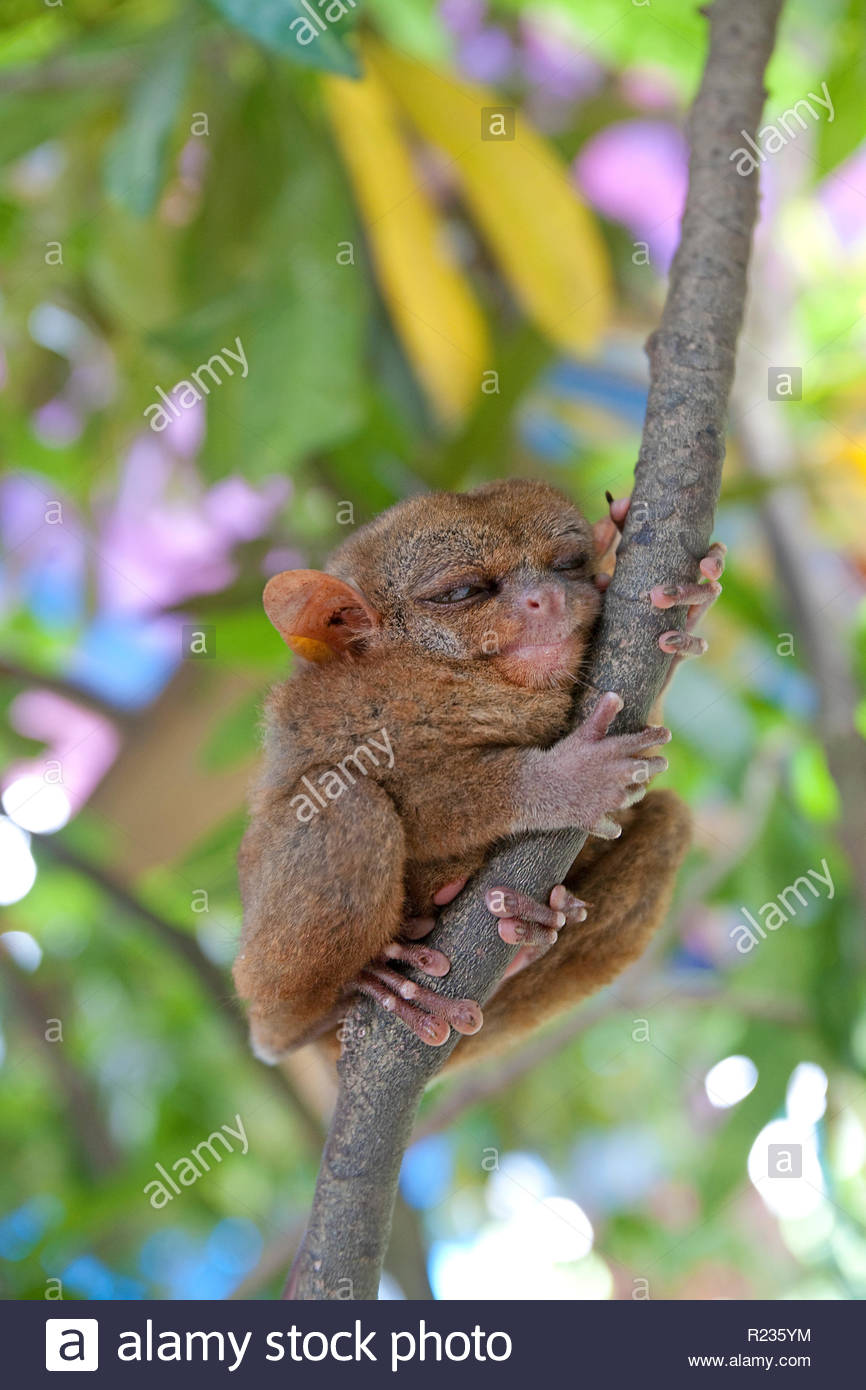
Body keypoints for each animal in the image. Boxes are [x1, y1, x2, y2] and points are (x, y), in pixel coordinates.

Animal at [233, 479, 724, 1069]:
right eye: (461, 592)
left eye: (568, 564)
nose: (549, 596)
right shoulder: (342, 710)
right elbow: (412, 799)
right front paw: (573, 779)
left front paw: (689, 604)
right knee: (347, 805)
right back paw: (348, 997)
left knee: (671, 822)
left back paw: (530, 930)